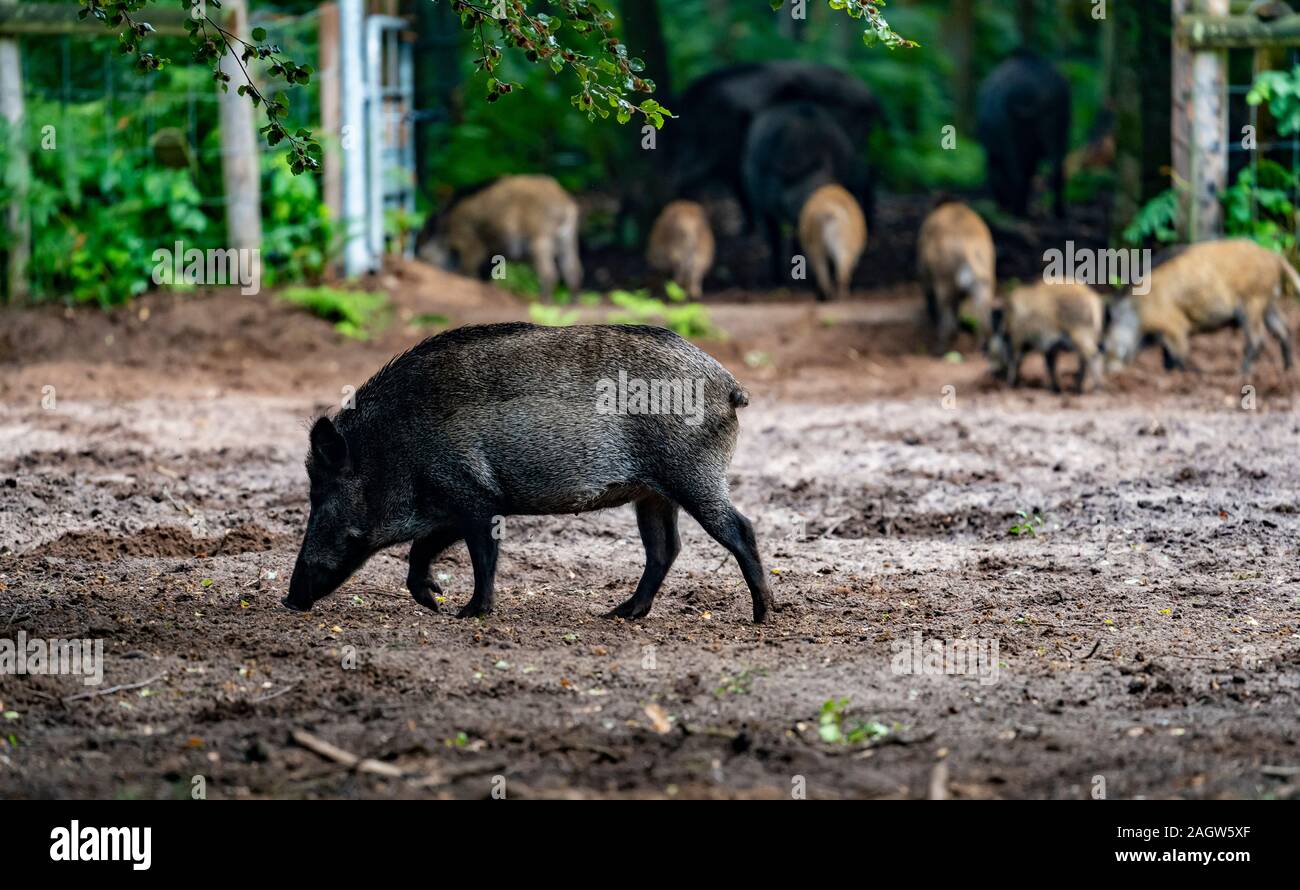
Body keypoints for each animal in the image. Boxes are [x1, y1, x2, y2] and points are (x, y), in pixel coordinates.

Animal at [283, 323, 774, 623]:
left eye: (321, 493)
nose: (290, 599)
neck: (392, 448)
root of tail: (729, 385)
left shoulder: (475, 495)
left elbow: (481, 556)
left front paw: (468, 612)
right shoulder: (461, 504)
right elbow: (422, 550)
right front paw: (436, 601)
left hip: (693, 476)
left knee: (740, 529)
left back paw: (762, 615)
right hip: (653, 495)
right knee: (665, 549)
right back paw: (619, 613)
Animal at [417, 175, 582, 301]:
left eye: (425, 256)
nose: (422, 260)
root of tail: (564, 203)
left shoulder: (470, 245)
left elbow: (468, 270)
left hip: (540, 241)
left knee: (549, 273)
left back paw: (544, 303)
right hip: (568, 240)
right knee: (573, 270)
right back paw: (572, 305)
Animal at [916, 201, 997, 352]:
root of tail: (968, 247)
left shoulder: (925, 273)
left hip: (944, 282)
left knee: (945, 311)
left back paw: (941, 347)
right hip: (985, 283)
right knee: (983, 315)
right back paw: (981, 346)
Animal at [976, 51, 1071, 217]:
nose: (1001, 205)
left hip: (1013, 139)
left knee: (1018, 175)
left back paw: (1019, 212)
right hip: (1057, 129)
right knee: (1056, 170)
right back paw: (1058, 213)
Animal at [1104, 239, 1297, 374]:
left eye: (1102, 346)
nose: (1111, 373)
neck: (1137, 311)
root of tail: (1274, 256)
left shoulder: (1175, 326)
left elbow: (1177, 354)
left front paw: (1182, 376)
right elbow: (1167, 356)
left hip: (1253, 303)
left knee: (1258, 339)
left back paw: (1242, 374)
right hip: (1268, 303)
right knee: (1283, 329)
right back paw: (1287, 370)